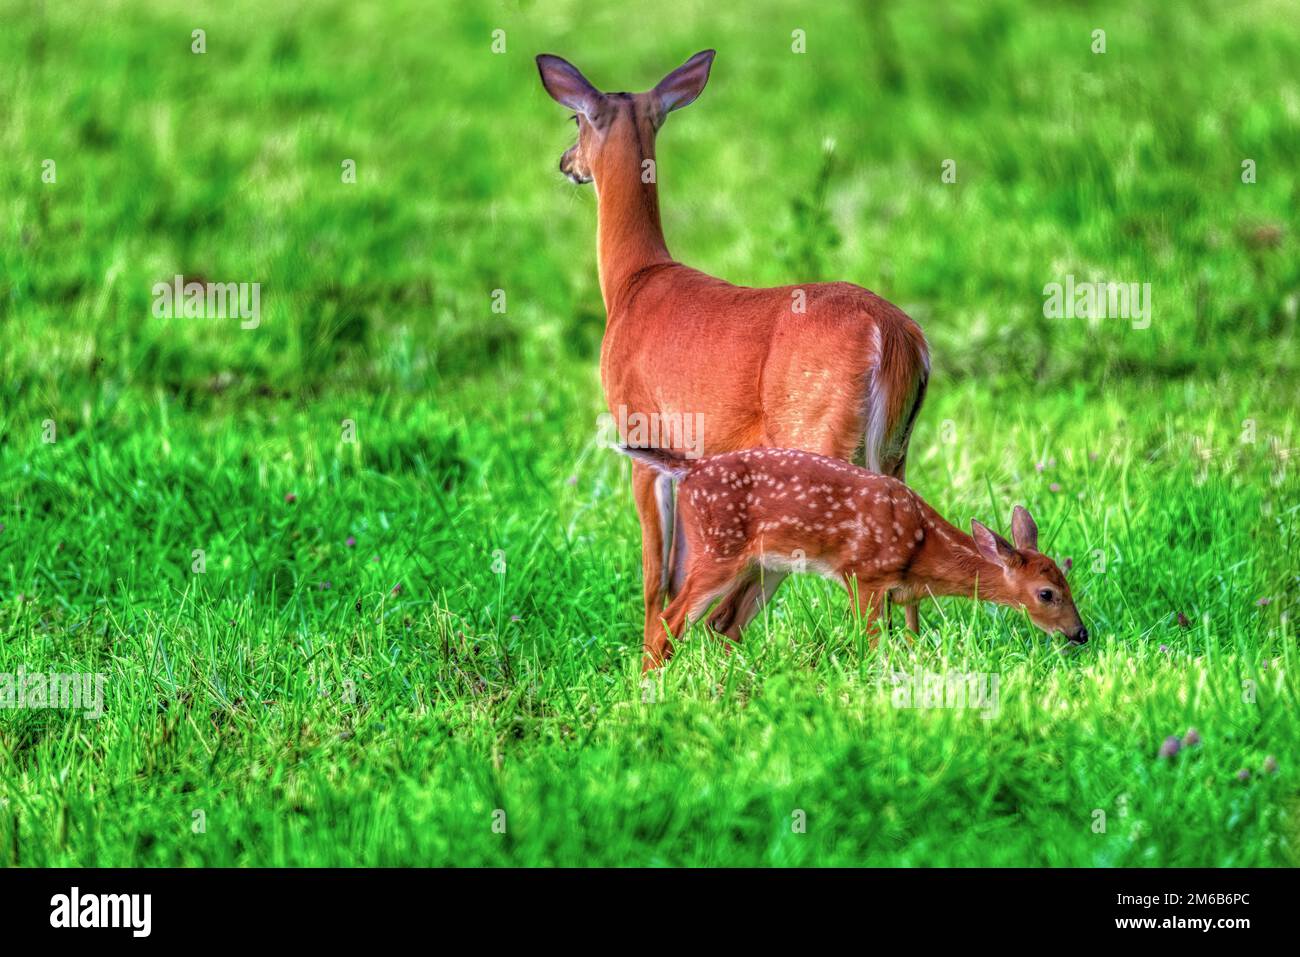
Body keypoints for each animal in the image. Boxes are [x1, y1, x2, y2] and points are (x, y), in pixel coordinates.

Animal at [536, 49, 931, 656]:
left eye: (574, 118)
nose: (565, 163)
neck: (633, 282)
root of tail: (891, 336)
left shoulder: (640, 427)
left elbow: (655, 572)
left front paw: (648, 656)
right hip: (893, 452)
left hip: (817, 440)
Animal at [616, 445, 1087, 670]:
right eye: (1047, 593)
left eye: (1068, 583)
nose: (1080, 633)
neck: (921, 546)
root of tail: (689, 471)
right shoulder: (865, 575)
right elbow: (872, 641)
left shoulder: (900, 592)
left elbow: (905, 637)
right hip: (718, 549)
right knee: (668, 620)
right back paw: (651, 688)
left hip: (765, 565)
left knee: (720, 624)